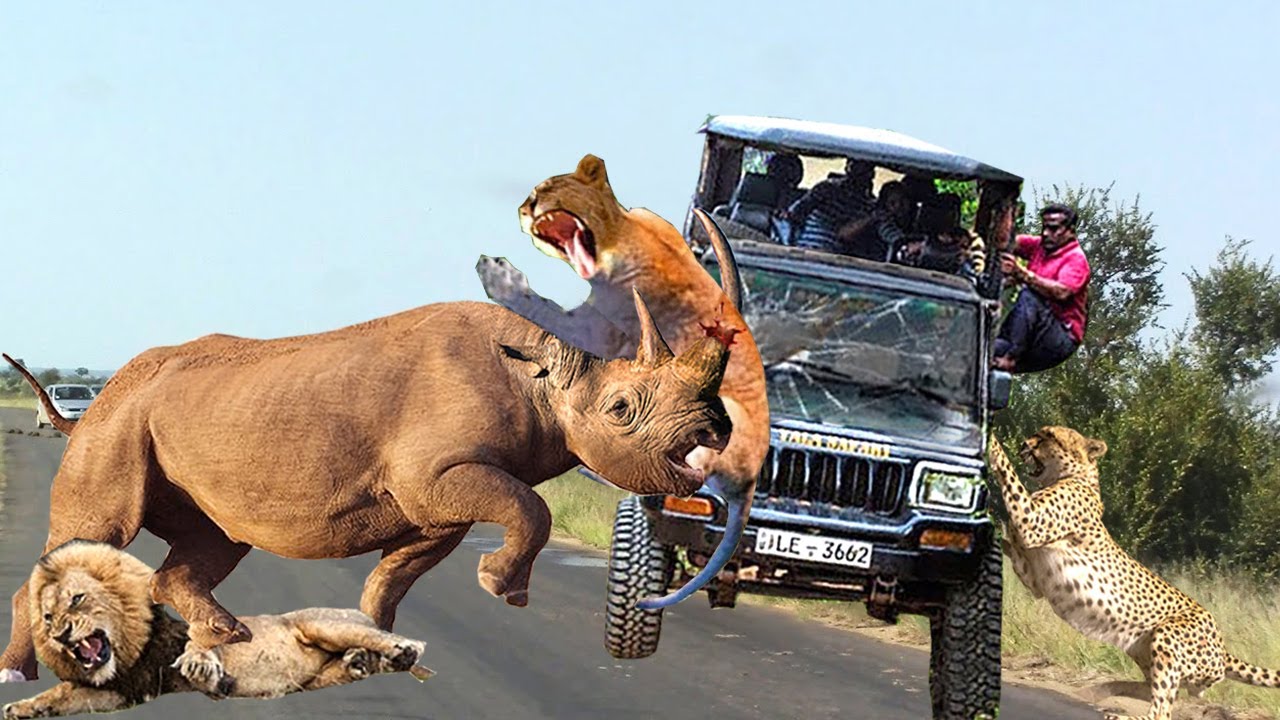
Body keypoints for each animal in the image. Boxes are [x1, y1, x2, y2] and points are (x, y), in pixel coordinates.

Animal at [0, 288, 733, 683]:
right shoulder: (436, 475)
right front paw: (504, 590)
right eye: (621, 409)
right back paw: (19, 673)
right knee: (93, 534)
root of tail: (100, 397)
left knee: (216, 538)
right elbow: (533, 509)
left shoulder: (435, 508)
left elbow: (391, 581)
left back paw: (227, 644)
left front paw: (382, 655)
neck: (543, 376)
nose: (717, 430)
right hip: (119, 422)